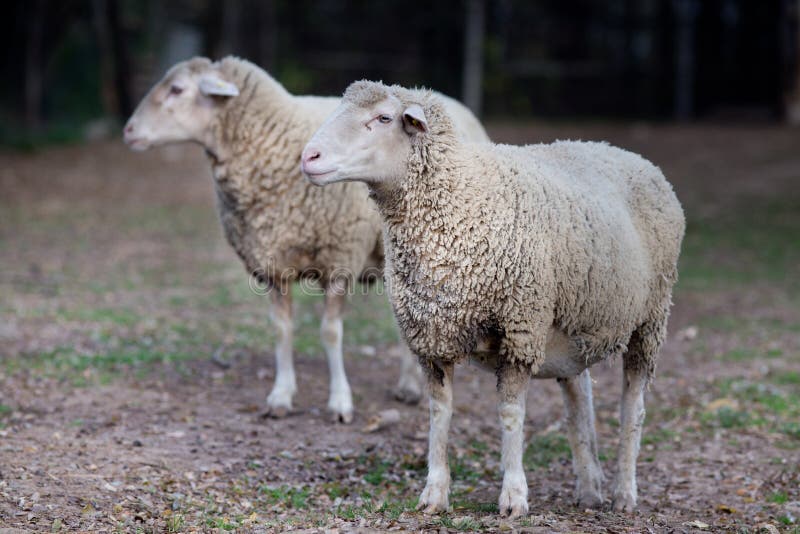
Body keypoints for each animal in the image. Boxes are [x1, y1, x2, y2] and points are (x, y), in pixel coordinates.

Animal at [123, 58, 490, 423]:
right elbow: (281, 329)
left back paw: (410, 387)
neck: (270, 138)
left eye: (177, 89)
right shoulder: (273, 264)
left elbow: (330, 333)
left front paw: (340, 401)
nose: (128, 131)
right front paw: (281, 395)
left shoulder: (340, 258)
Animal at [301, 80, 685, 516]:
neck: (461, 197)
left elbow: (510, 414)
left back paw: (624, 493)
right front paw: (434, 493)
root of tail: (632, 156)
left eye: (383, 118)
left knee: (633, 406)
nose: (309, 157)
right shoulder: (431, 338)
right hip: (572, 320)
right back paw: (589, 487)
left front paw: (514, 496)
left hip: (649, 319)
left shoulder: (520, 329)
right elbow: (440, 413)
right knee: (579, 398)